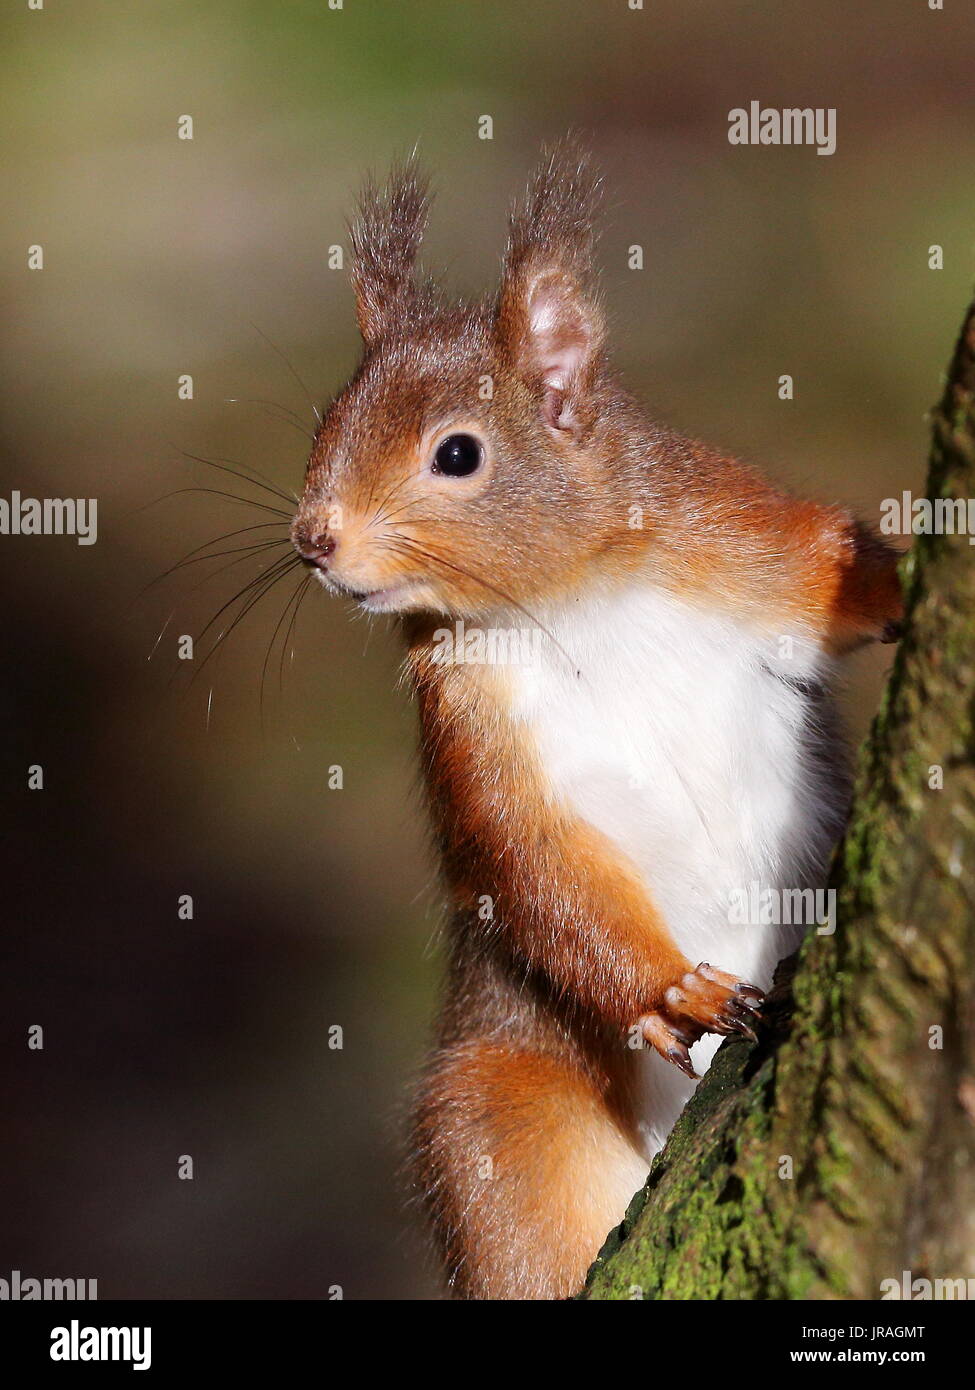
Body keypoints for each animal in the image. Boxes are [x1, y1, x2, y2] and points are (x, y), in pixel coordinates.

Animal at [290, 139, 903, 1300]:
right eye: (322, 427)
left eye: (456, 454)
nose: (313, 538)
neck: (572, 596)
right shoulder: (469, 724)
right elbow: (533, 858)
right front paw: (676, 991)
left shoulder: (739, 533)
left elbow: (840, 562)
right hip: (500, 1116)